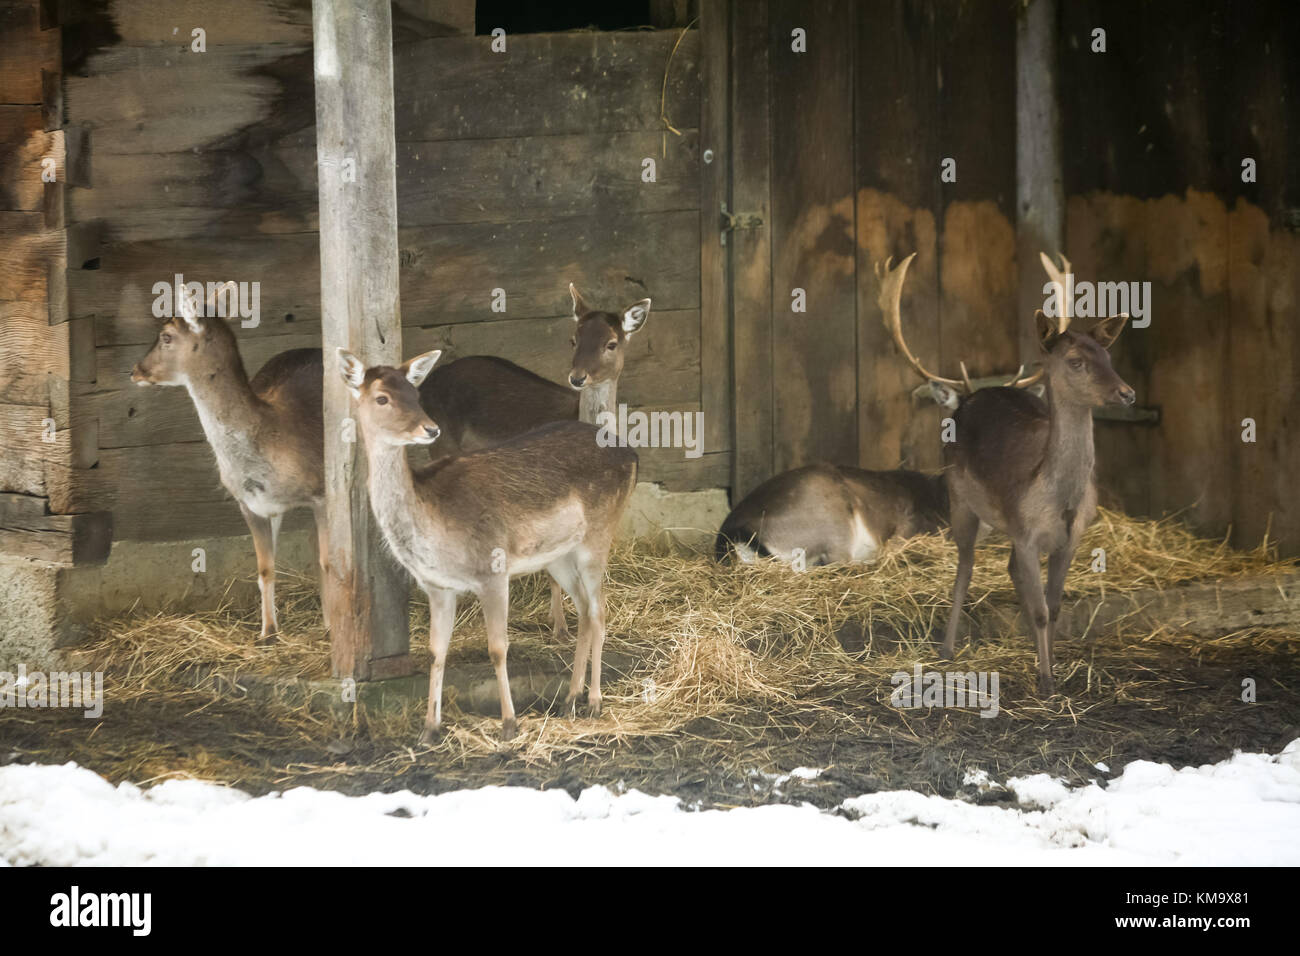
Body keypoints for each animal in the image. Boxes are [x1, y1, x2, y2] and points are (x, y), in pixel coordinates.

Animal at [130, 283, 327, 642]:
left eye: (166, 335)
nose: (136, 370)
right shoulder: (250, 504)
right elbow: (265, 568)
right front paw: (267, 634)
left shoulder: (321, 492)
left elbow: (329, 561)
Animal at [337, 348, 638, 743]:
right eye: (382, 397)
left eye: (415, 394)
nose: (430, 428)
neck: (433, 526)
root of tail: (633, 454)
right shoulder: (437, 586)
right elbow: (435, 651)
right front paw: (429, 729)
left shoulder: (493, 570)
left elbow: (497, 648)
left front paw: (509, 725)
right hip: (558, 555)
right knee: (586, 612)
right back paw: (571, 699)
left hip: (598, 537)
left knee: (600, 611)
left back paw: (594, 702)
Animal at [418, 284, 650, 641]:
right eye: (573, 338)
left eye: (611, 343)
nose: (578, 377)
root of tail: (425, 385)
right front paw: (560, 627)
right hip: (441, 445)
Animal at [879, 251, 1135, 694]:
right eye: (1076, 362)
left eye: (1108, 357)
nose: (1127, 393)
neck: (1057, 497)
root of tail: (972, 394)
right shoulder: (1025, 531)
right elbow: (1040, 608)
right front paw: (1047, 682)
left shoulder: (1070, 538)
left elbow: (1052, 605)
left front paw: (1050, 668)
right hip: (961, 500)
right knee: (965, 566)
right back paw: (947, 648)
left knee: (1010, 570)